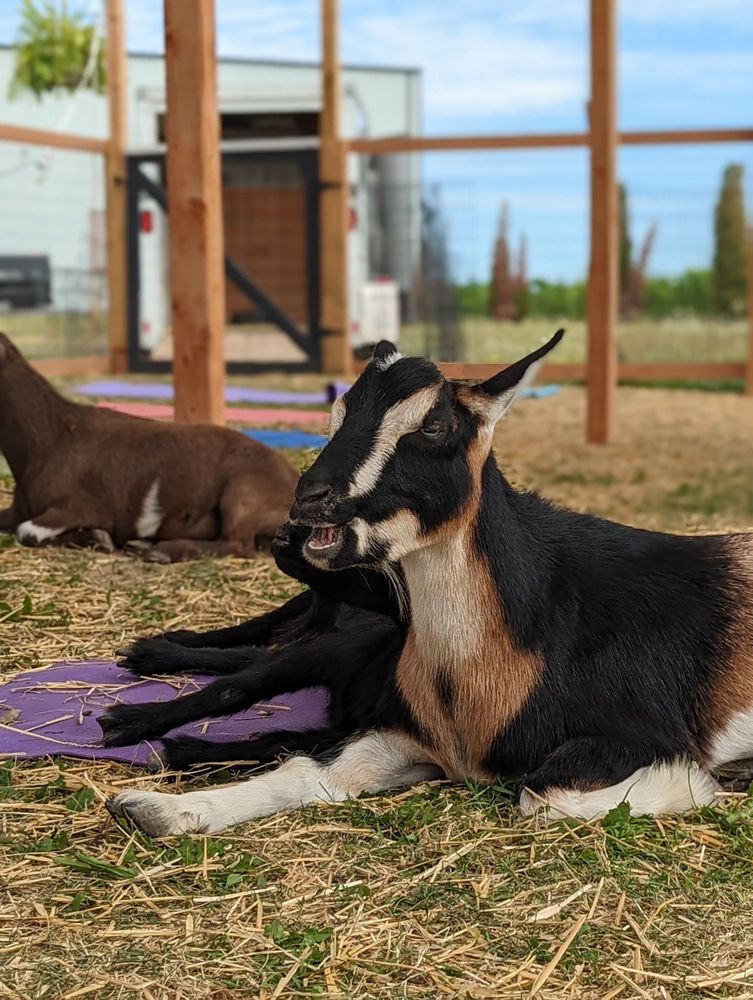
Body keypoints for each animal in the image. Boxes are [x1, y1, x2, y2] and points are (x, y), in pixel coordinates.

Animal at [0, 333, 298, 561]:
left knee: (237, 544)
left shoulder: (81, 506)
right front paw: (96, 537)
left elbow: (27, 531)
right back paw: (143, 543)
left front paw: (98, 537)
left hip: (244, 491)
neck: (52, 442)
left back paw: (164, 550)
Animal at [108, 329, 753, 835]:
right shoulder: (407, 739)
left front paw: (698, 783)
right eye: (338, 412)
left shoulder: (633, 733)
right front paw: (153, 808)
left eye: (434, 425)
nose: (310, 500)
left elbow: (543, 795)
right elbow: (307, 772)